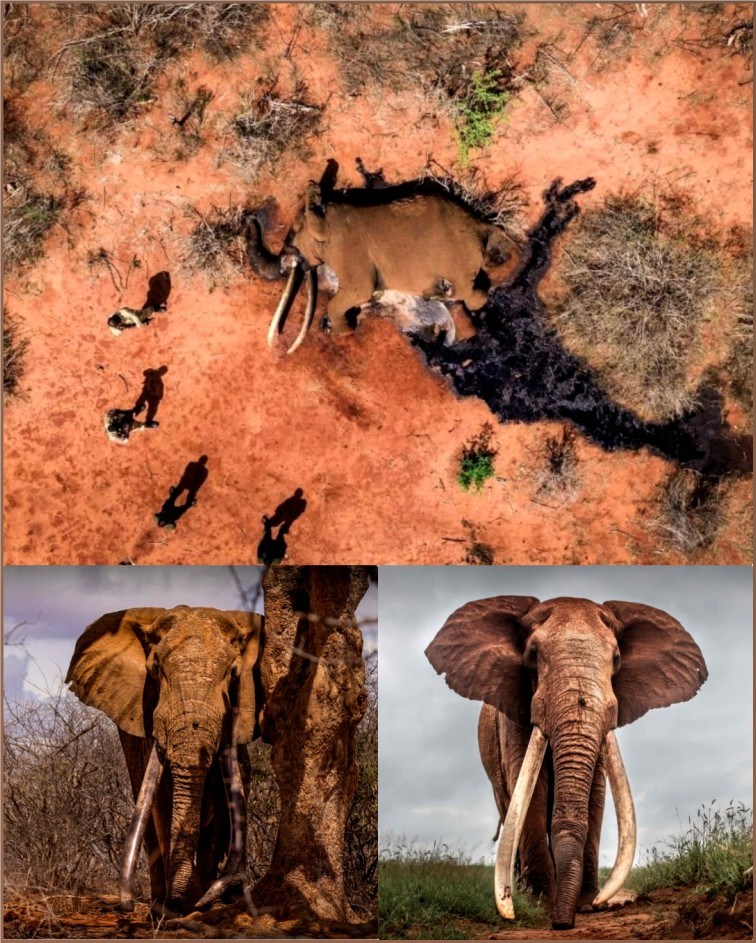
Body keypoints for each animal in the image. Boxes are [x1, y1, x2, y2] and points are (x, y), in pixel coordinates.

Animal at [246, 158, 518, 353]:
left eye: (292, 235)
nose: (249, 219)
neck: (324, 211)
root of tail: (481, 224)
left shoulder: (348, 248)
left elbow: (361, 290)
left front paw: (341, 331)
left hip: (458, 258)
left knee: (471, 294)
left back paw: (444, 294)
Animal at [425, 595, 708, 931]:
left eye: (616, 658)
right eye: (532, 655)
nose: (563, 923)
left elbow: (596, 794)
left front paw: (587, 905)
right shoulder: (515, 714)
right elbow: (532, 792)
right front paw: (541, 905)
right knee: (509, 809)